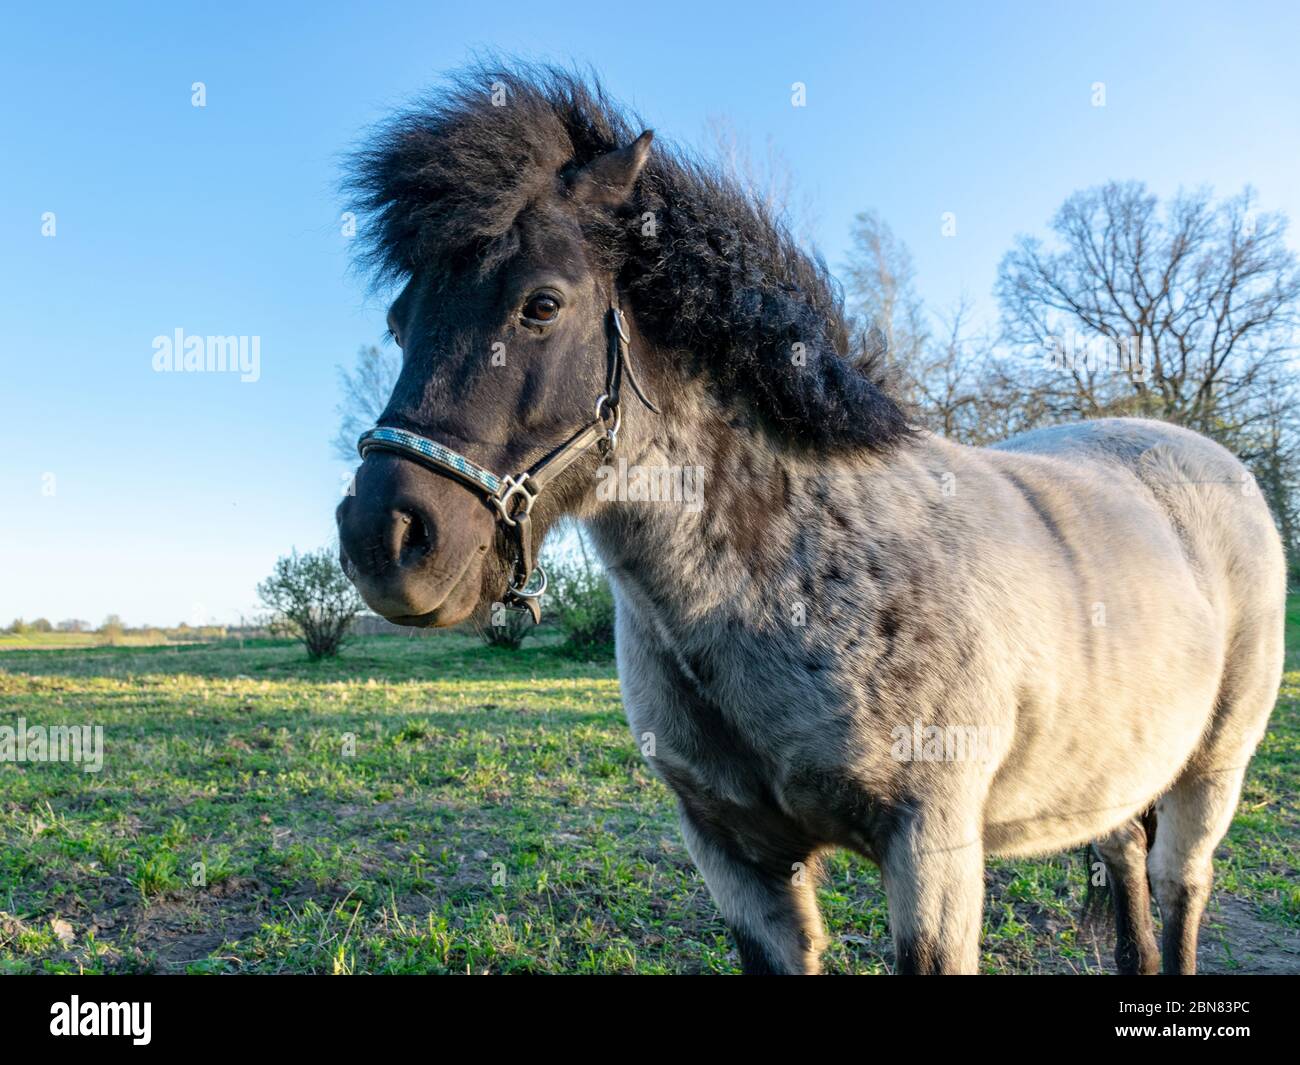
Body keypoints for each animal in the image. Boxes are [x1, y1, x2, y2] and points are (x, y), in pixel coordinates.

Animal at [336, 65, 1286, 974]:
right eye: (399, 319)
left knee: (1179, 891)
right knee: (1127, 873)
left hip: (1212, 772)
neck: (787, 571)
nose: (384, 539)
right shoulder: (734, 855)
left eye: (540, 303)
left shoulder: (932, 849)